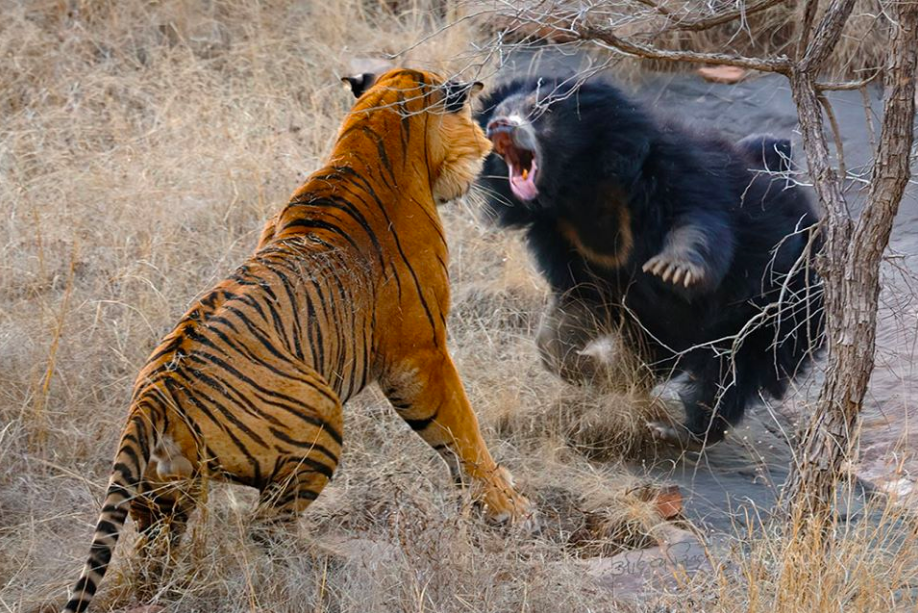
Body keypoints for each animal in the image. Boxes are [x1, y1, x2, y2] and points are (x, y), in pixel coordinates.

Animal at [61, 68, 533, 613]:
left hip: (163, 497)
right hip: (320, 417)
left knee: (156, 555)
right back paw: (340, 562)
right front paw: (509, 507)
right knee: (266, 527)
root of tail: (152, 396)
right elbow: (462, 431)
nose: (486, 146)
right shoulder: (421, 354)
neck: (369, 138)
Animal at [474, 74, 824, 449]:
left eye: (539, 110)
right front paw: (596, 371)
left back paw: (683, 430)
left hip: (781, 306)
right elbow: (575, 310)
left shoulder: (675, 173)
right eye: (498, 112)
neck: (578, 189)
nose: (499, 126)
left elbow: (699, 224)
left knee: (731, 372)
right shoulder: (565, 240)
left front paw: (674, 270)